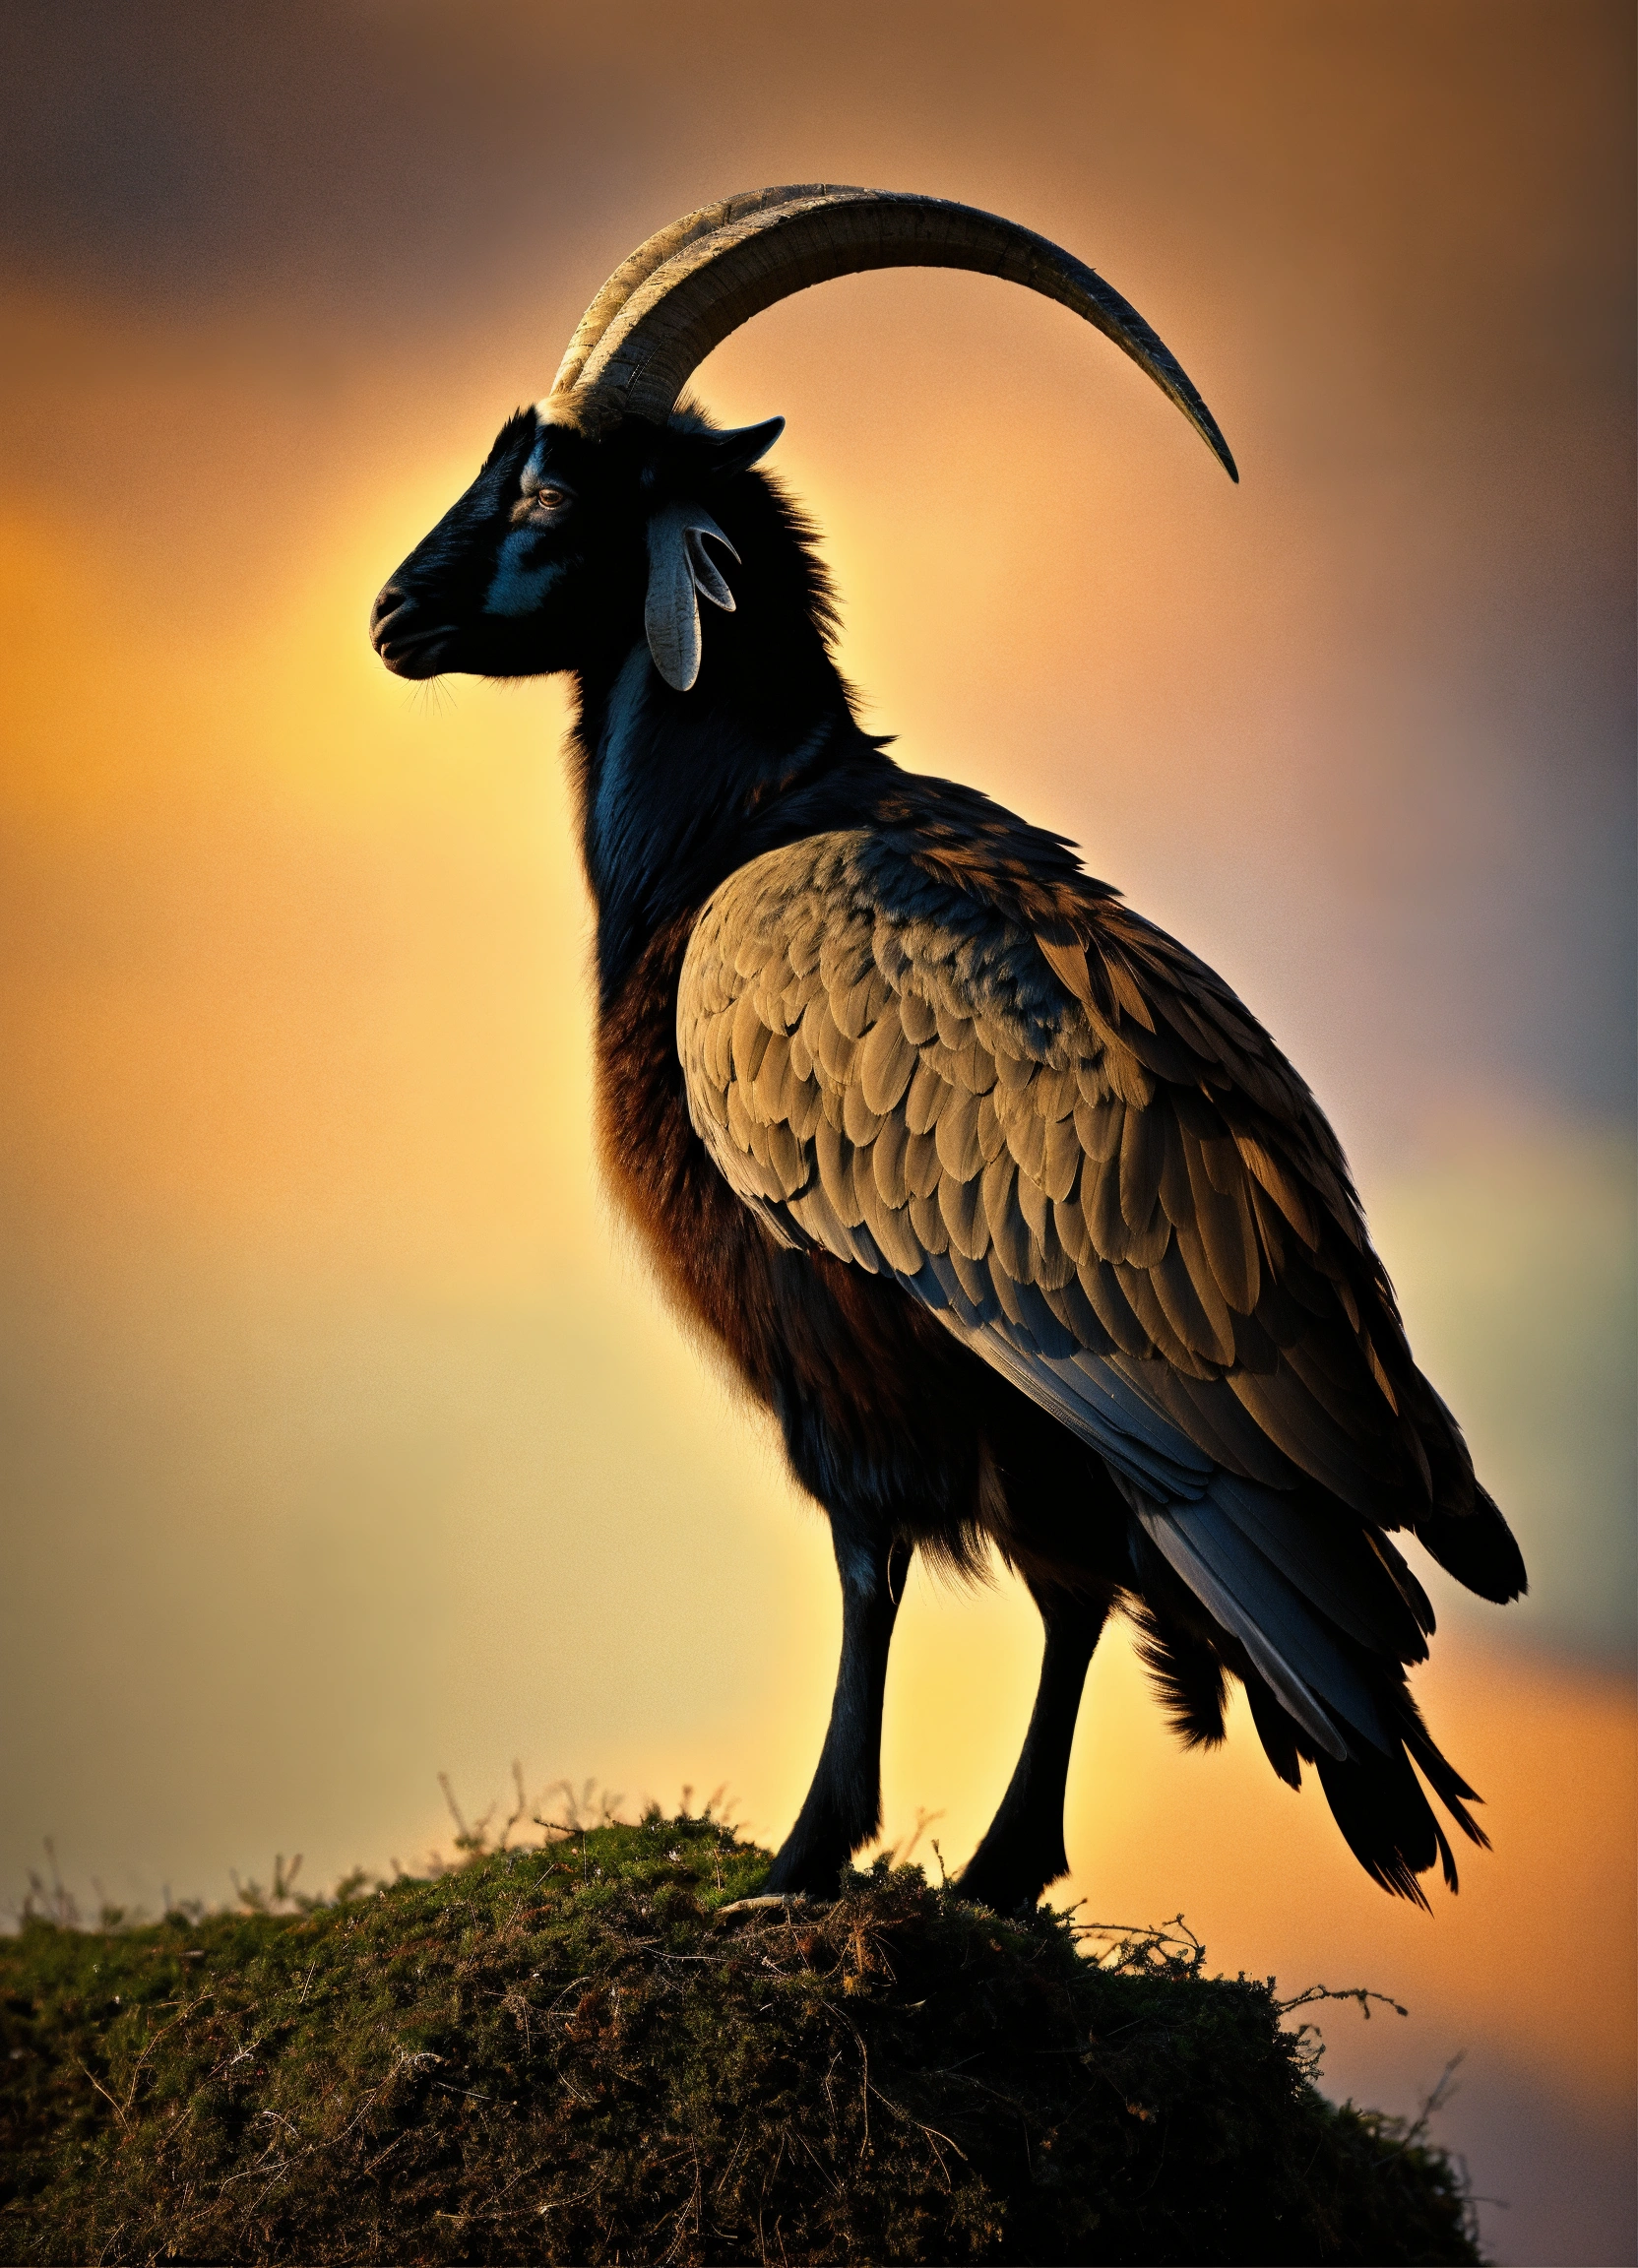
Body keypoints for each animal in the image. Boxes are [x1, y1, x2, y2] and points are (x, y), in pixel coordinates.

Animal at [372, 187, 1525, 1912]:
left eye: (553, 485)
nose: (392, 615)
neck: (745, 818)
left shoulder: (847, 1343)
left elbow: (870, 1561)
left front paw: (802, 1855)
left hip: (1151, 1448)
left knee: (1079, 1574)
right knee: (1082, 1584)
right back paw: (999, 1871)